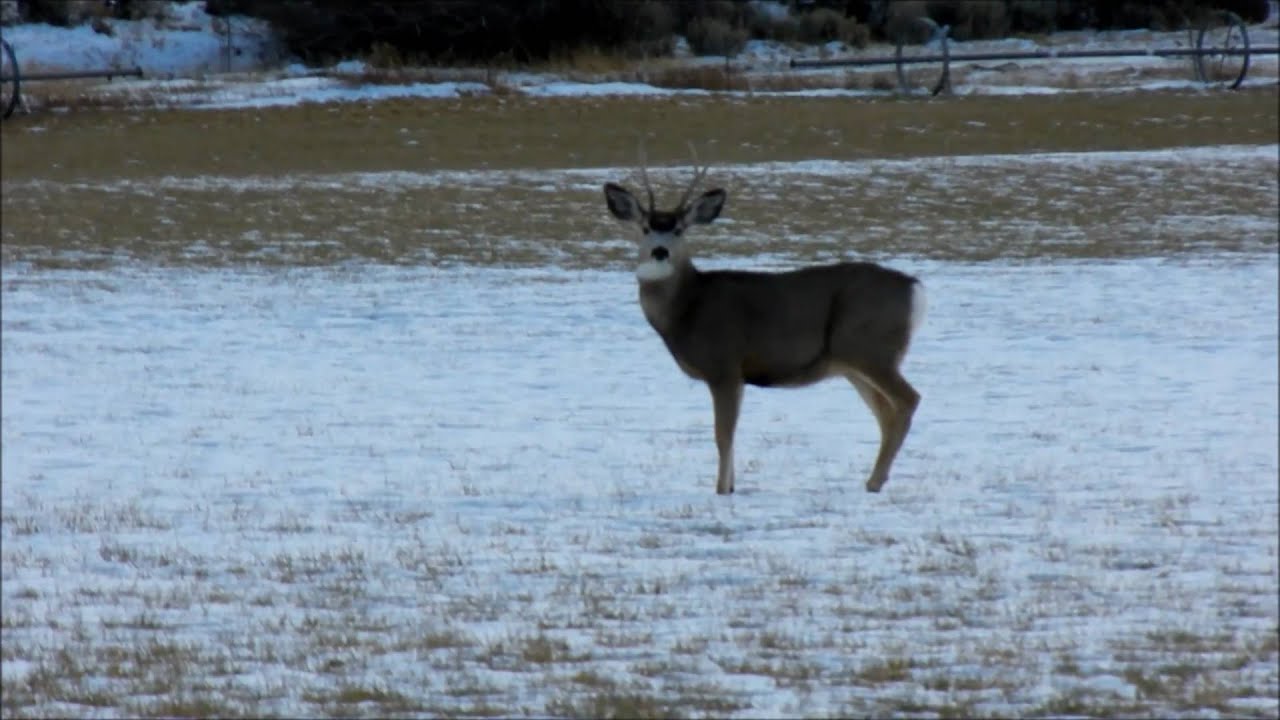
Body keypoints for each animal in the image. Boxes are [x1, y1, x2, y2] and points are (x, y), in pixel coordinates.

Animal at [603, 147, 925, 495]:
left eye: (679, 229)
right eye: (645, 228)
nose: (660, 252)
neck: (688, 309)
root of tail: (914, 288)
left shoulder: (725, 366)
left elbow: (723, 435)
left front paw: (722, 490)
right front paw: (730, 486)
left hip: (870, 348)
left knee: (908, 400)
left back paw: (875, 481)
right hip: (854, 363)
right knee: (886, 412)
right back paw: (872, 481)